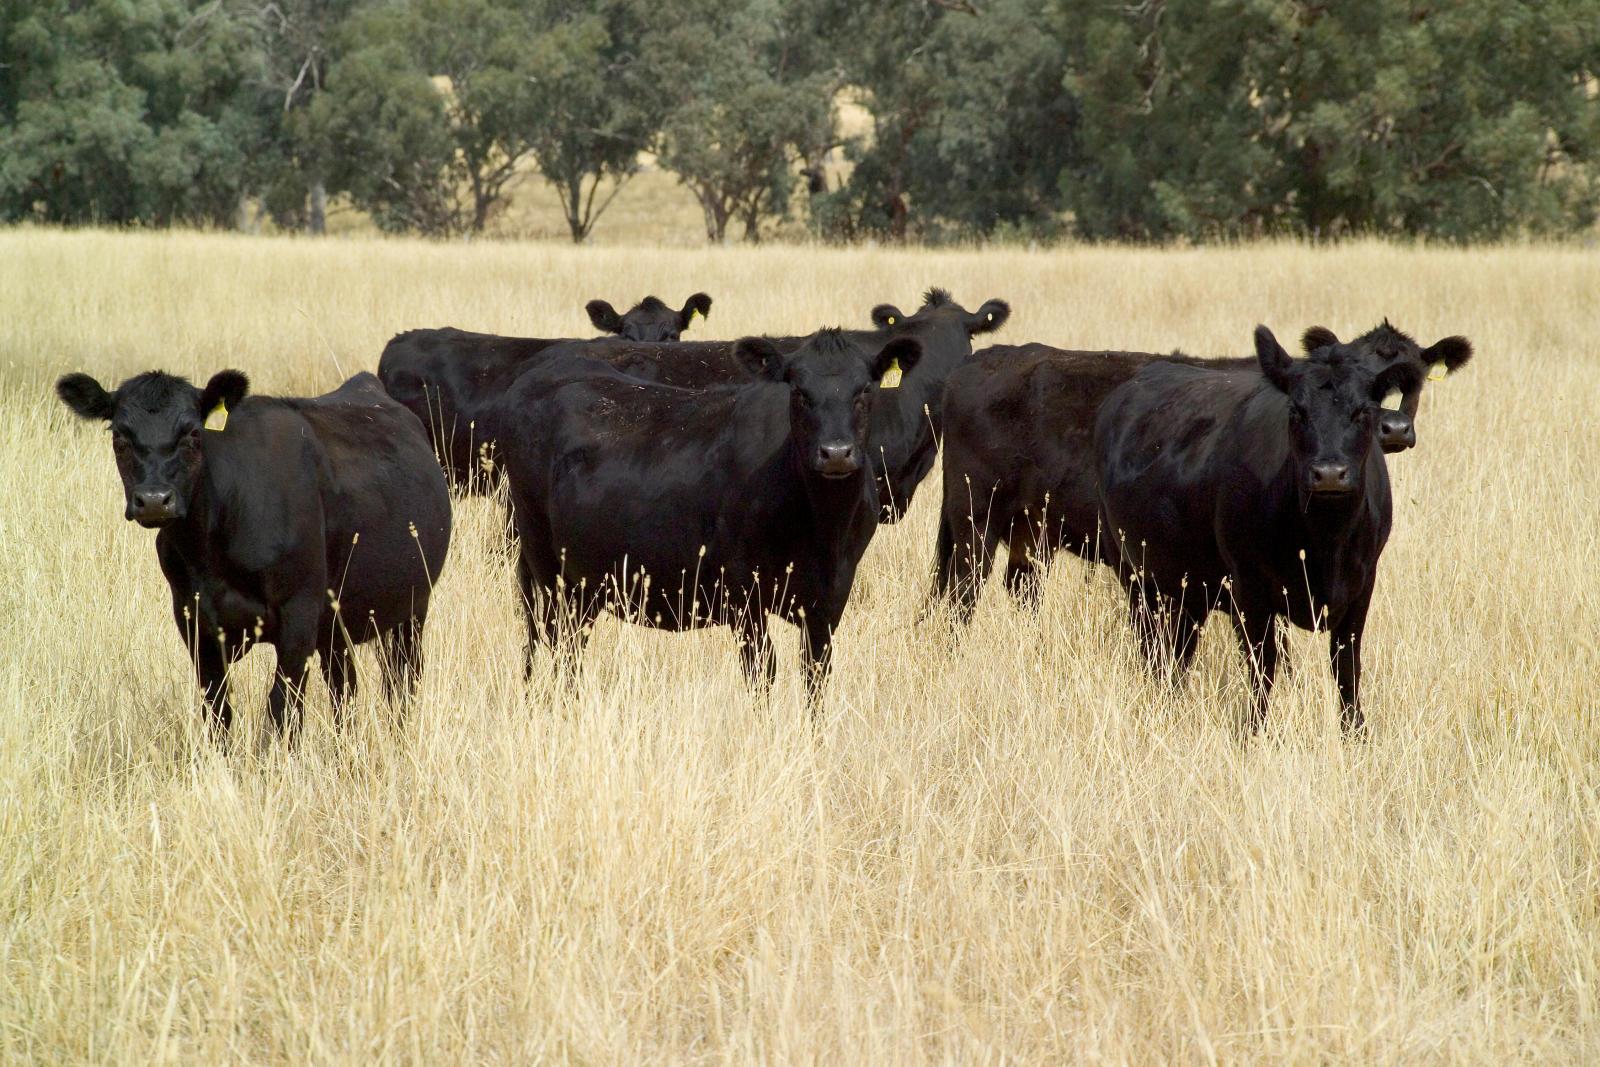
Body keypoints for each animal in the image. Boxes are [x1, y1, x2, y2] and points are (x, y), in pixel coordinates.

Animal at [55, 369, 452, 741]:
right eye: (119, 437)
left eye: (193, 434)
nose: (154, 500)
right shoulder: (194, 622)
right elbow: (218, 710)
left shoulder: (299, 616)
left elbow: (282, 711)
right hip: (338, 625)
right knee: (344, 689)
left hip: (411, 609)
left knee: (401, 684)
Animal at [485, 328, 924, 710]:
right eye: (799, 392)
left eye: (864, 390)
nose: (835, 453)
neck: (823, 528)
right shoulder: (744, 594)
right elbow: (762, 672)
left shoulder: (830, 599)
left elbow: (815, 676)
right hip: (545, 564)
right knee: (558, 644)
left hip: (584, 580)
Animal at [931, 321, 1471, 619]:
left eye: (1410, 380)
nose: (1394, 428)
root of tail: (987, 359)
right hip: (974, 519)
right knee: (960, 594)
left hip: (1030, 533)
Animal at [1093, 327, 1428, 734]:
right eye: (1296, 411)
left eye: (1363, 411)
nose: (1329, 473)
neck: (1324, 541)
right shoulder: (1249, 590)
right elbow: (1263, 667)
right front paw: (1255, 732)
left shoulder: (1361, 587)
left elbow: (1347, 668)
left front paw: (1356, 733)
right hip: (1133, 573)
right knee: (1153, 649)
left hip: (1190, 586)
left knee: (1179, 653)